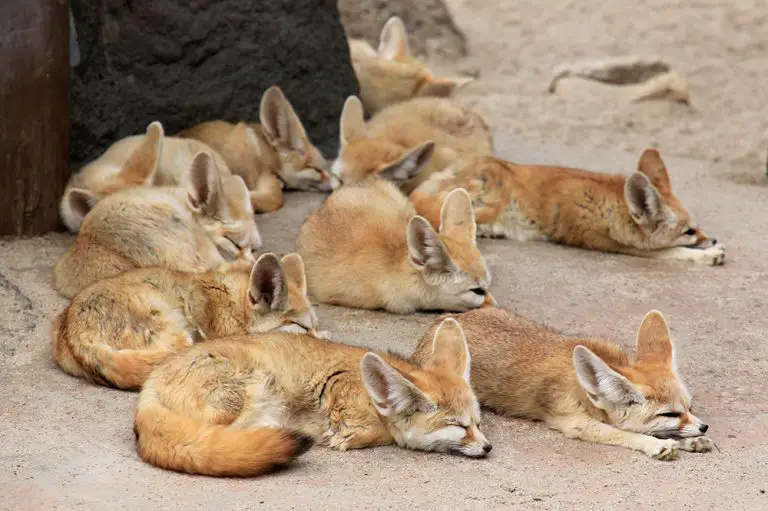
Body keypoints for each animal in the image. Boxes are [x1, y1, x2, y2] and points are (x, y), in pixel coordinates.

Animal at [134, 317, 491, 477]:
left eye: (477, 423)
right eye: (459, 427)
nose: (488, 447)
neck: (369, 393)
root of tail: (148, 389)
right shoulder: (347, 412)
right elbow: (372, 433)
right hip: (255, 387)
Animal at [410, 149, 725, 265]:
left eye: (697, 226)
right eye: (688, 231)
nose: (713, 238)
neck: (610, 203)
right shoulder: (618, 246)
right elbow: (675, 253)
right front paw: (709, 255)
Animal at [413, 308, 714, 461]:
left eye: (689, 407)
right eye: (670, 413)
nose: (704, 426)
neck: (584, 387)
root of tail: (440, 321)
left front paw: (691, 441)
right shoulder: (573, 421)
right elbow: (621, 433)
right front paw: (653, 444)